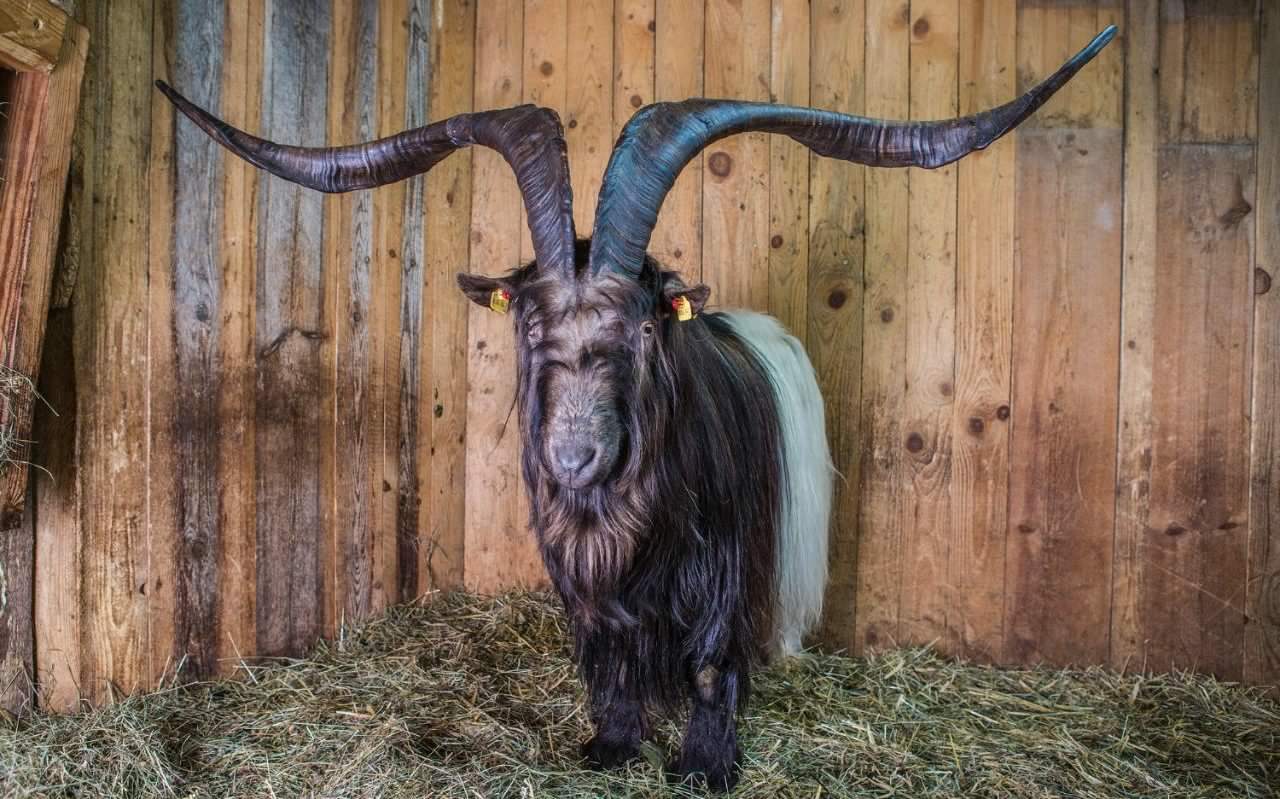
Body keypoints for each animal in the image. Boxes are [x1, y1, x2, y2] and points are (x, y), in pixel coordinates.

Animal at [157, 24, 1113, 791]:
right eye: (530, 322)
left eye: (644, 324)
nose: (576, 454)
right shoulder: (583, 578)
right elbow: (611, 657)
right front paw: (613, 747)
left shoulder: (724, 564)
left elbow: (711, 664)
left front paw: (704, 766)